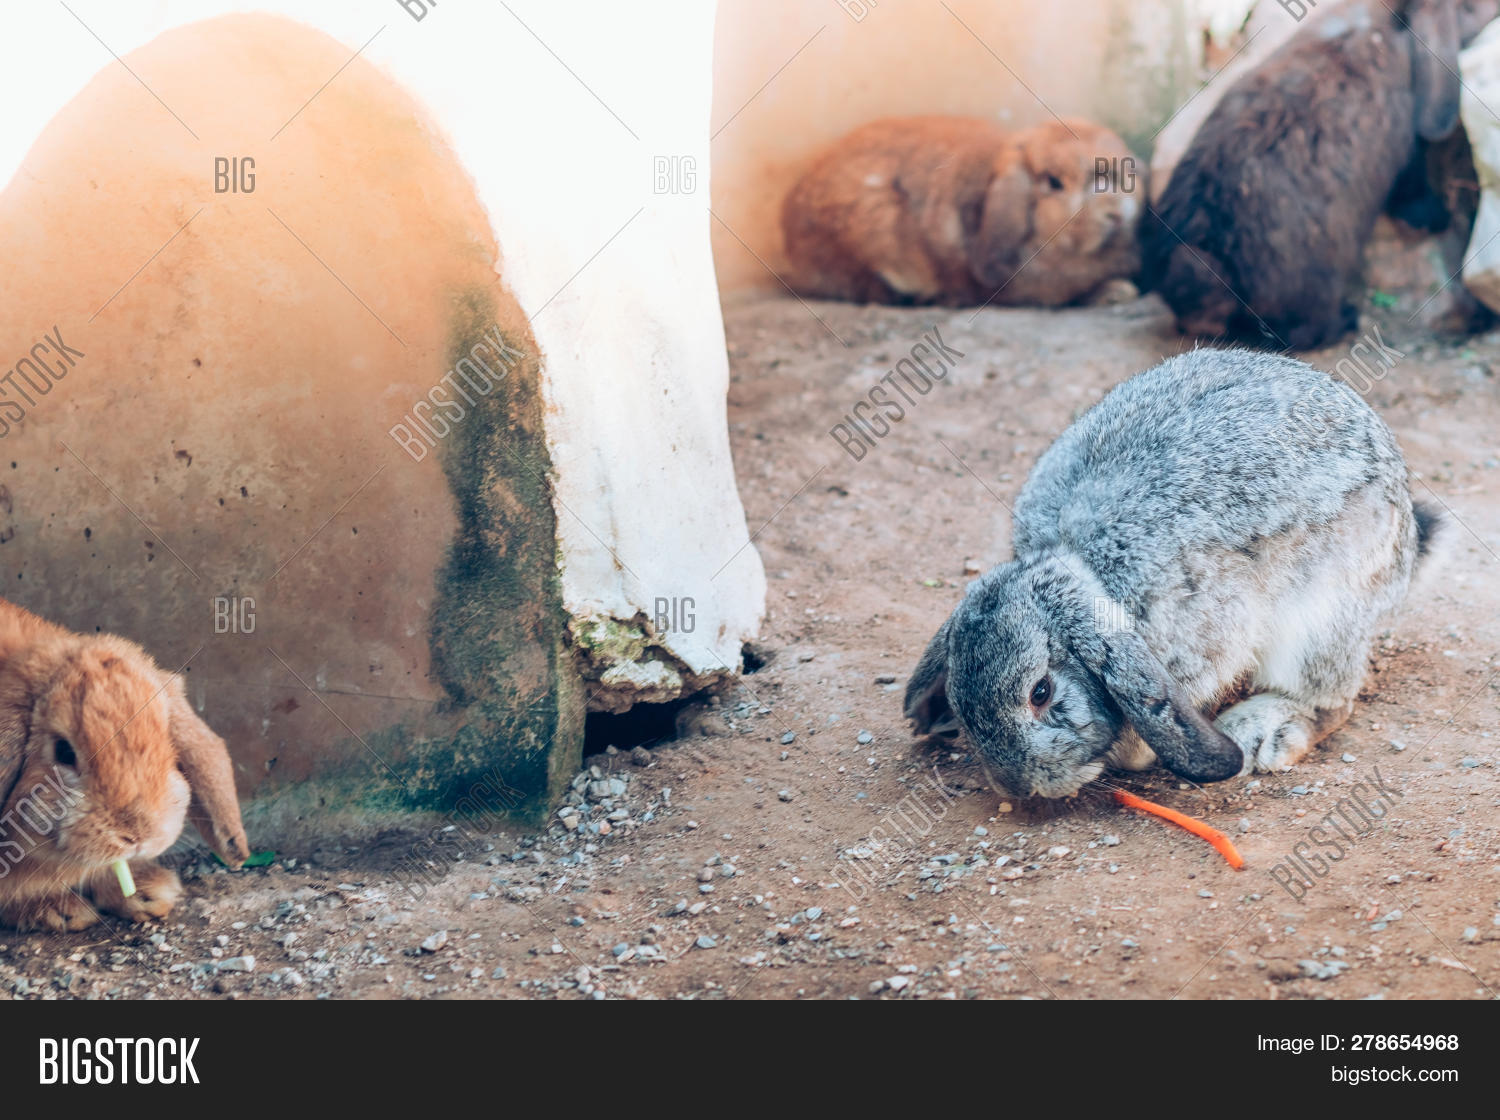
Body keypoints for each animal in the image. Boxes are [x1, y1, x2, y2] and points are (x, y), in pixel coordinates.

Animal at [904, 348, 1444, 800]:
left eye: (1041, 692)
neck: (1081, 566)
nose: (1016, 786)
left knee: (1330, 702)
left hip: (1324, 615)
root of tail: (1406, 540)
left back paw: (1261, 732)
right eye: (956, 693)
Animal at [1143, 0, 1499, 351]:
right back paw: (1344, 320)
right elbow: (1413, 191)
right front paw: (1438, 217)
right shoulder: (1408, 153)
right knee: (1301, 331)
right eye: (1466, 8)